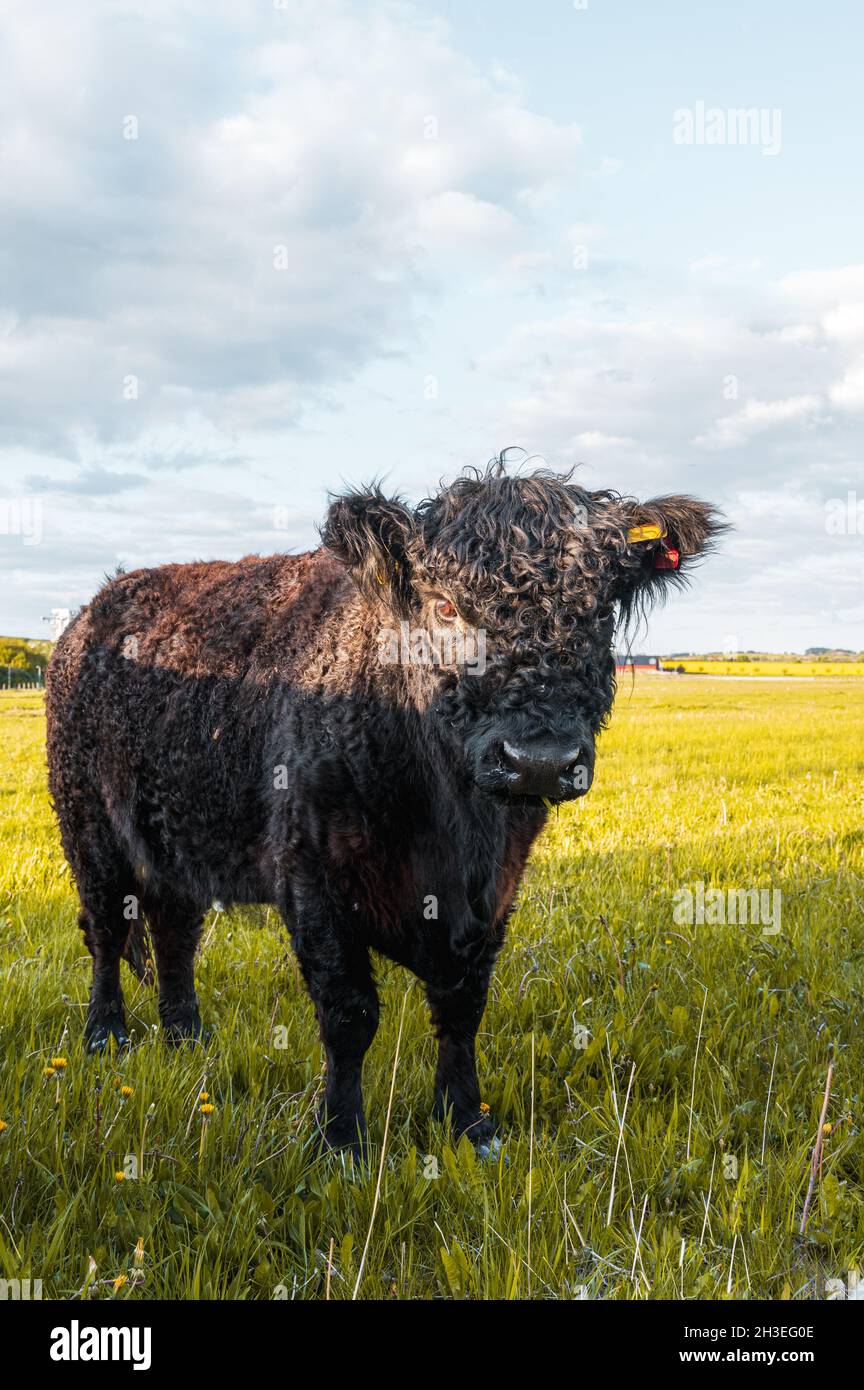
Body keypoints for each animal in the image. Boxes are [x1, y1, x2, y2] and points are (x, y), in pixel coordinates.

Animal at [46, 461, 724, 1157]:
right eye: (445, 604)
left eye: (599, 608)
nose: (539, 759)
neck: (452, 823)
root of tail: (96, 607)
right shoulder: (312, 877)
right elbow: (350, 1012)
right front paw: (342, 1138)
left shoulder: (495, 892)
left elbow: (463, 1008)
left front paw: (468, 1122)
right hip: (87, 822)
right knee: (106, 929)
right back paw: (106, 1036)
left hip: (176, 839)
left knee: (173, 930)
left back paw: (187, 1036)